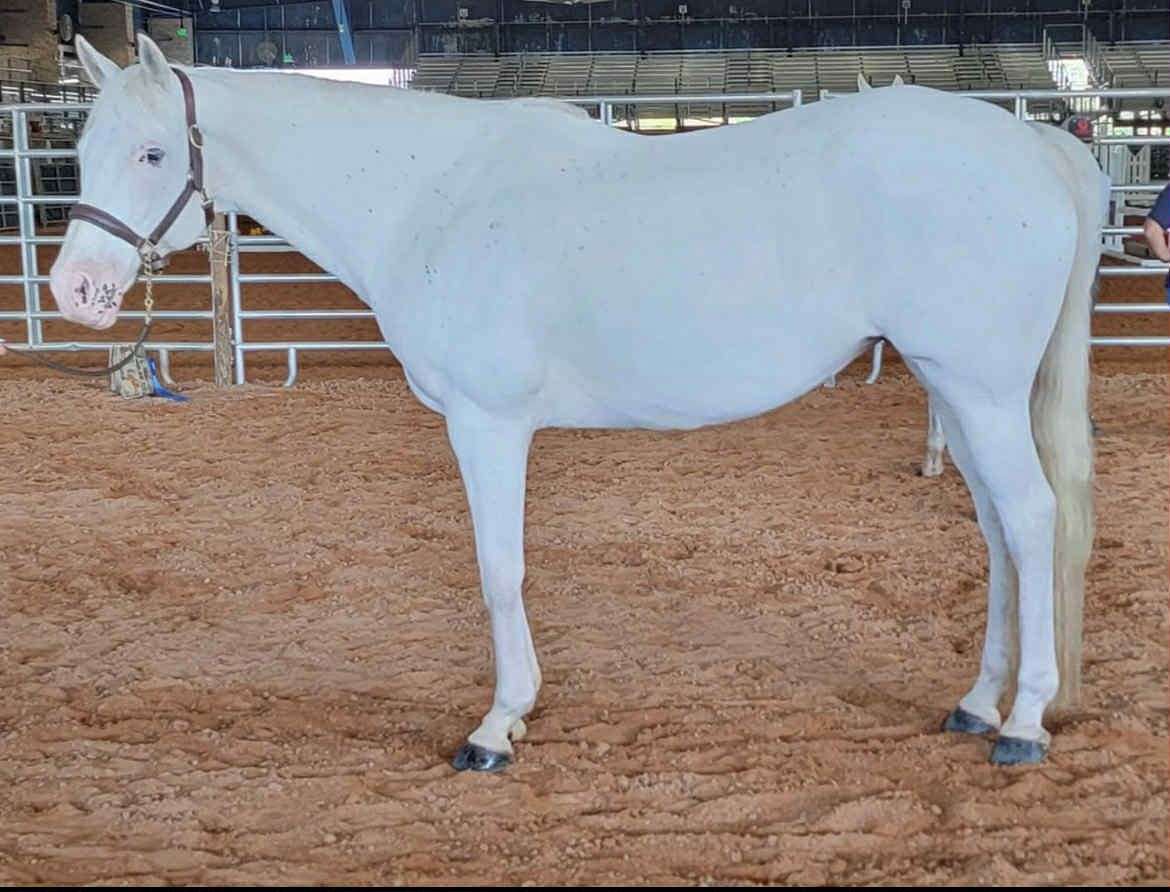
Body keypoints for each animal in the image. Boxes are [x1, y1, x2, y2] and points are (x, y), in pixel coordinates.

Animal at [50, 34, 1106, 770]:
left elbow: (498, 571)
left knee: (1030, 518)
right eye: (81, 149)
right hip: (954, 387)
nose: (76, 291)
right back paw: (975, 704)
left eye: (153, 155)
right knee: (999, 532)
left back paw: (1021, 723)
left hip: (977, 387)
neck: (429, 199)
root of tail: (1038, 147)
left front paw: (497, 725)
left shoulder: (486, 423)